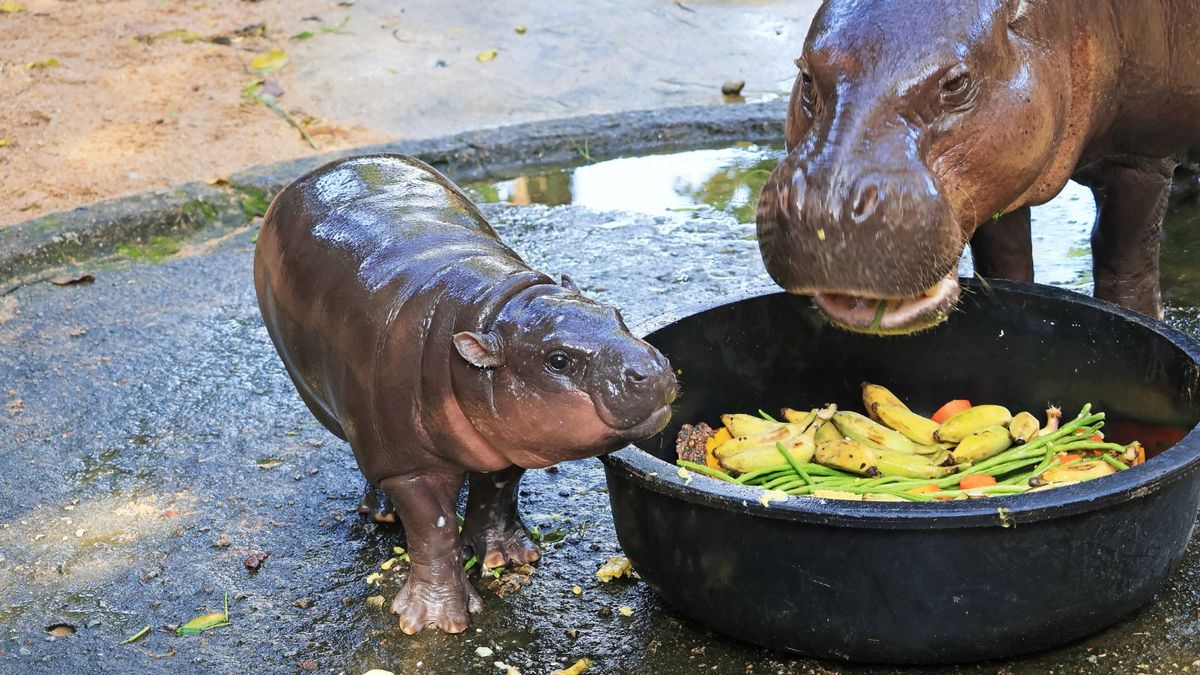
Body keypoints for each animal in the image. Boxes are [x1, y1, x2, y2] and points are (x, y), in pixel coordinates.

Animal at [253, 154, 676, 634]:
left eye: (614, 312)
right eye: (558, 360)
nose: (650, 369)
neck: (488, 309)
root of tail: (321, 169)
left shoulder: (506, 438)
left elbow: (496, 493)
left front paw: (509, 558)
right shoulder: (411, 467)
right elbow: (433, 529)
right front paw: (434, 620)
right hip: (339, 412)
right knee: (367, 458)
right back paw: (382, 511)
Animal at [756, 0, 1200, 333]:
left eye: (956, 83)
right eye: (806, 75)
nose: (824, 205)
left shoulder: (1142, 157)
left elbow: (1122, 260)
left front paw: (1141, 314)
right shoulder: (1000, 185)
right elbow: (1006, 259)